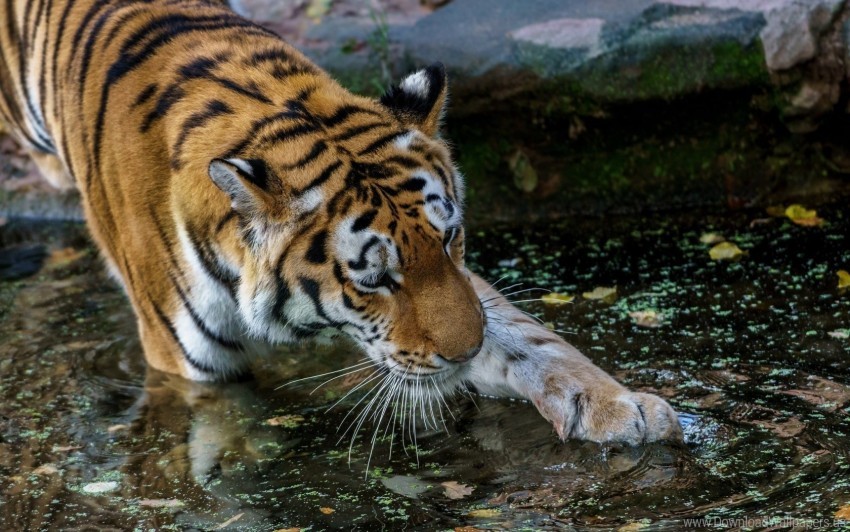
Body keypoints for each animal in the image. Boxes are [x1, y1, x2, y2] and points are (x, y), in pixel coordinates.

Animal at [0, 0, 681, 445]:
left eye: (451, 238)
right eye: (375, 280)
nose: (464, 352)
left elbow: (530, 339)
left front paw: (621, 408)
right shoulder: (190, 367)